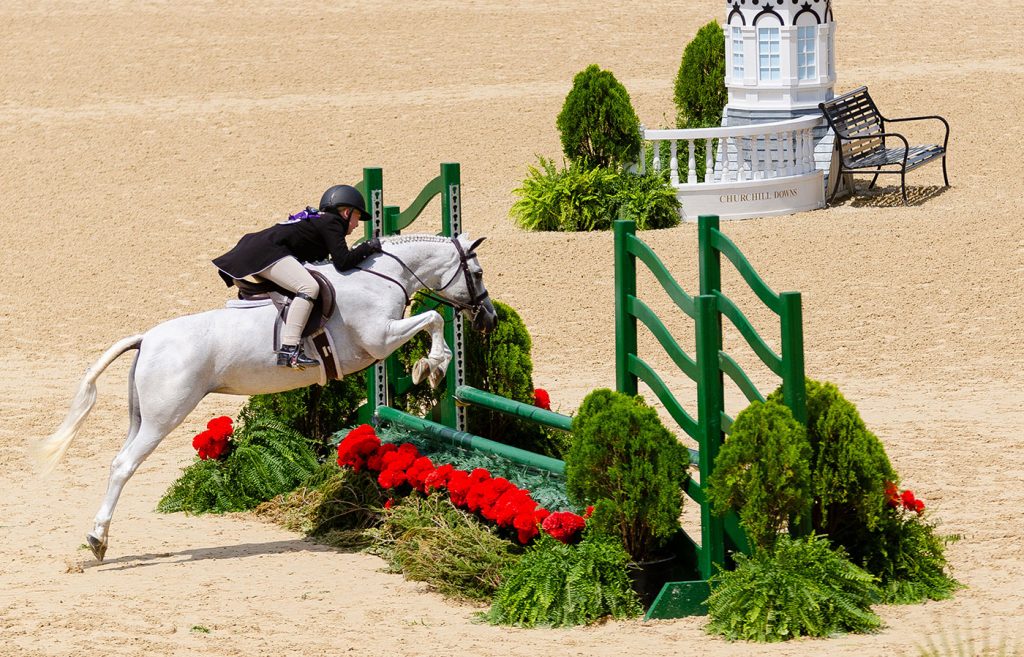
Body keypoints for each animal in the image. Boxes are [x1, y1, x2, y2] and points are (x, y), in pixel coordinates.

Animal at [37, 233, 497, 562]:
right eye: (475, 273)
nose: (489, 319)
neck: (378, 278)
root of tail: (147, 338)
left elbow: (431, 320)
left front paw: (430, 368)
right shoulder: (379, 340)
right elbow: (433, 318)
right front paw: (432, 367)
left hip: (141, 416)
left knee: (119, 459)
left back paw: (100, 536)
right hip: (164, 416)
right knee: (124, 465)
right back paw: (97, 539)